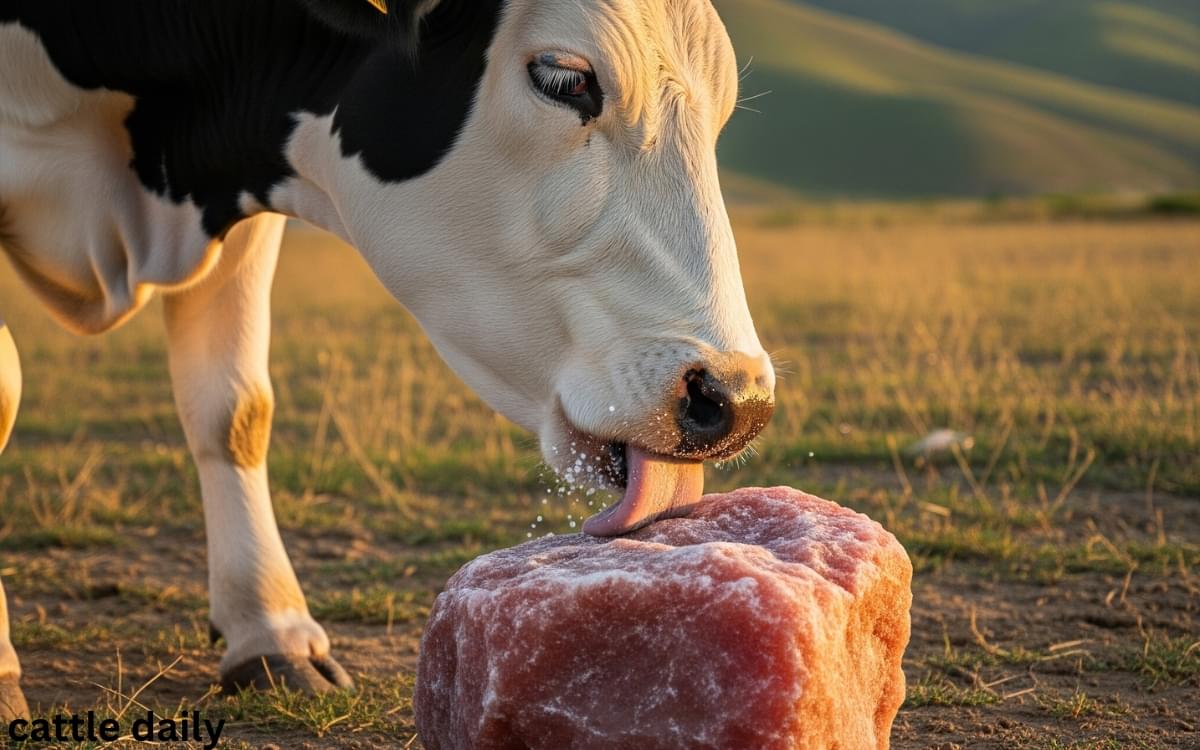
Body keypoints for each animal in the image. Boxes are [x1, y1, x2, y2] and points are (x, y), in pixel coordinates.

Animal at [0, 0, 775, 708]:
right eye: (563, 77)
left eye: (723, 103)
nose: (737, 399)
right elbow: (7, 387)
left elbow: (234, 410)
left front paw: (270, 634)